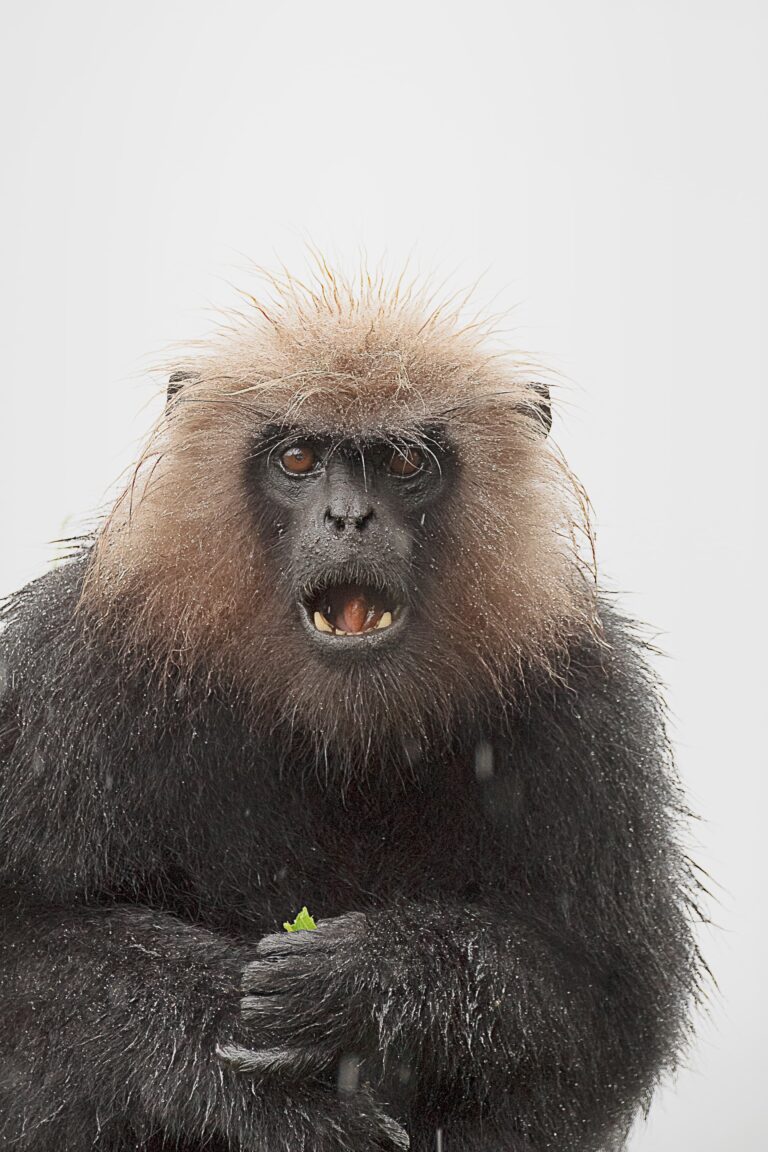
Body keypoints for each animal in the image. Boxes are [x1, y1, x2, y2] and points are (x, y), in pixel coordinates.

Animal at [0, 265, 703, 1152]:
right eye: (299, 458)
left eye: (402, 462)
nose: (348, 517)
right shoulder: (67, 672)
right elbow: (27, 947)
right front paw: (229, 1015)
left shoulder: (591, 708)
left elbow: (603, 1004)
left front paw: (361, 979)